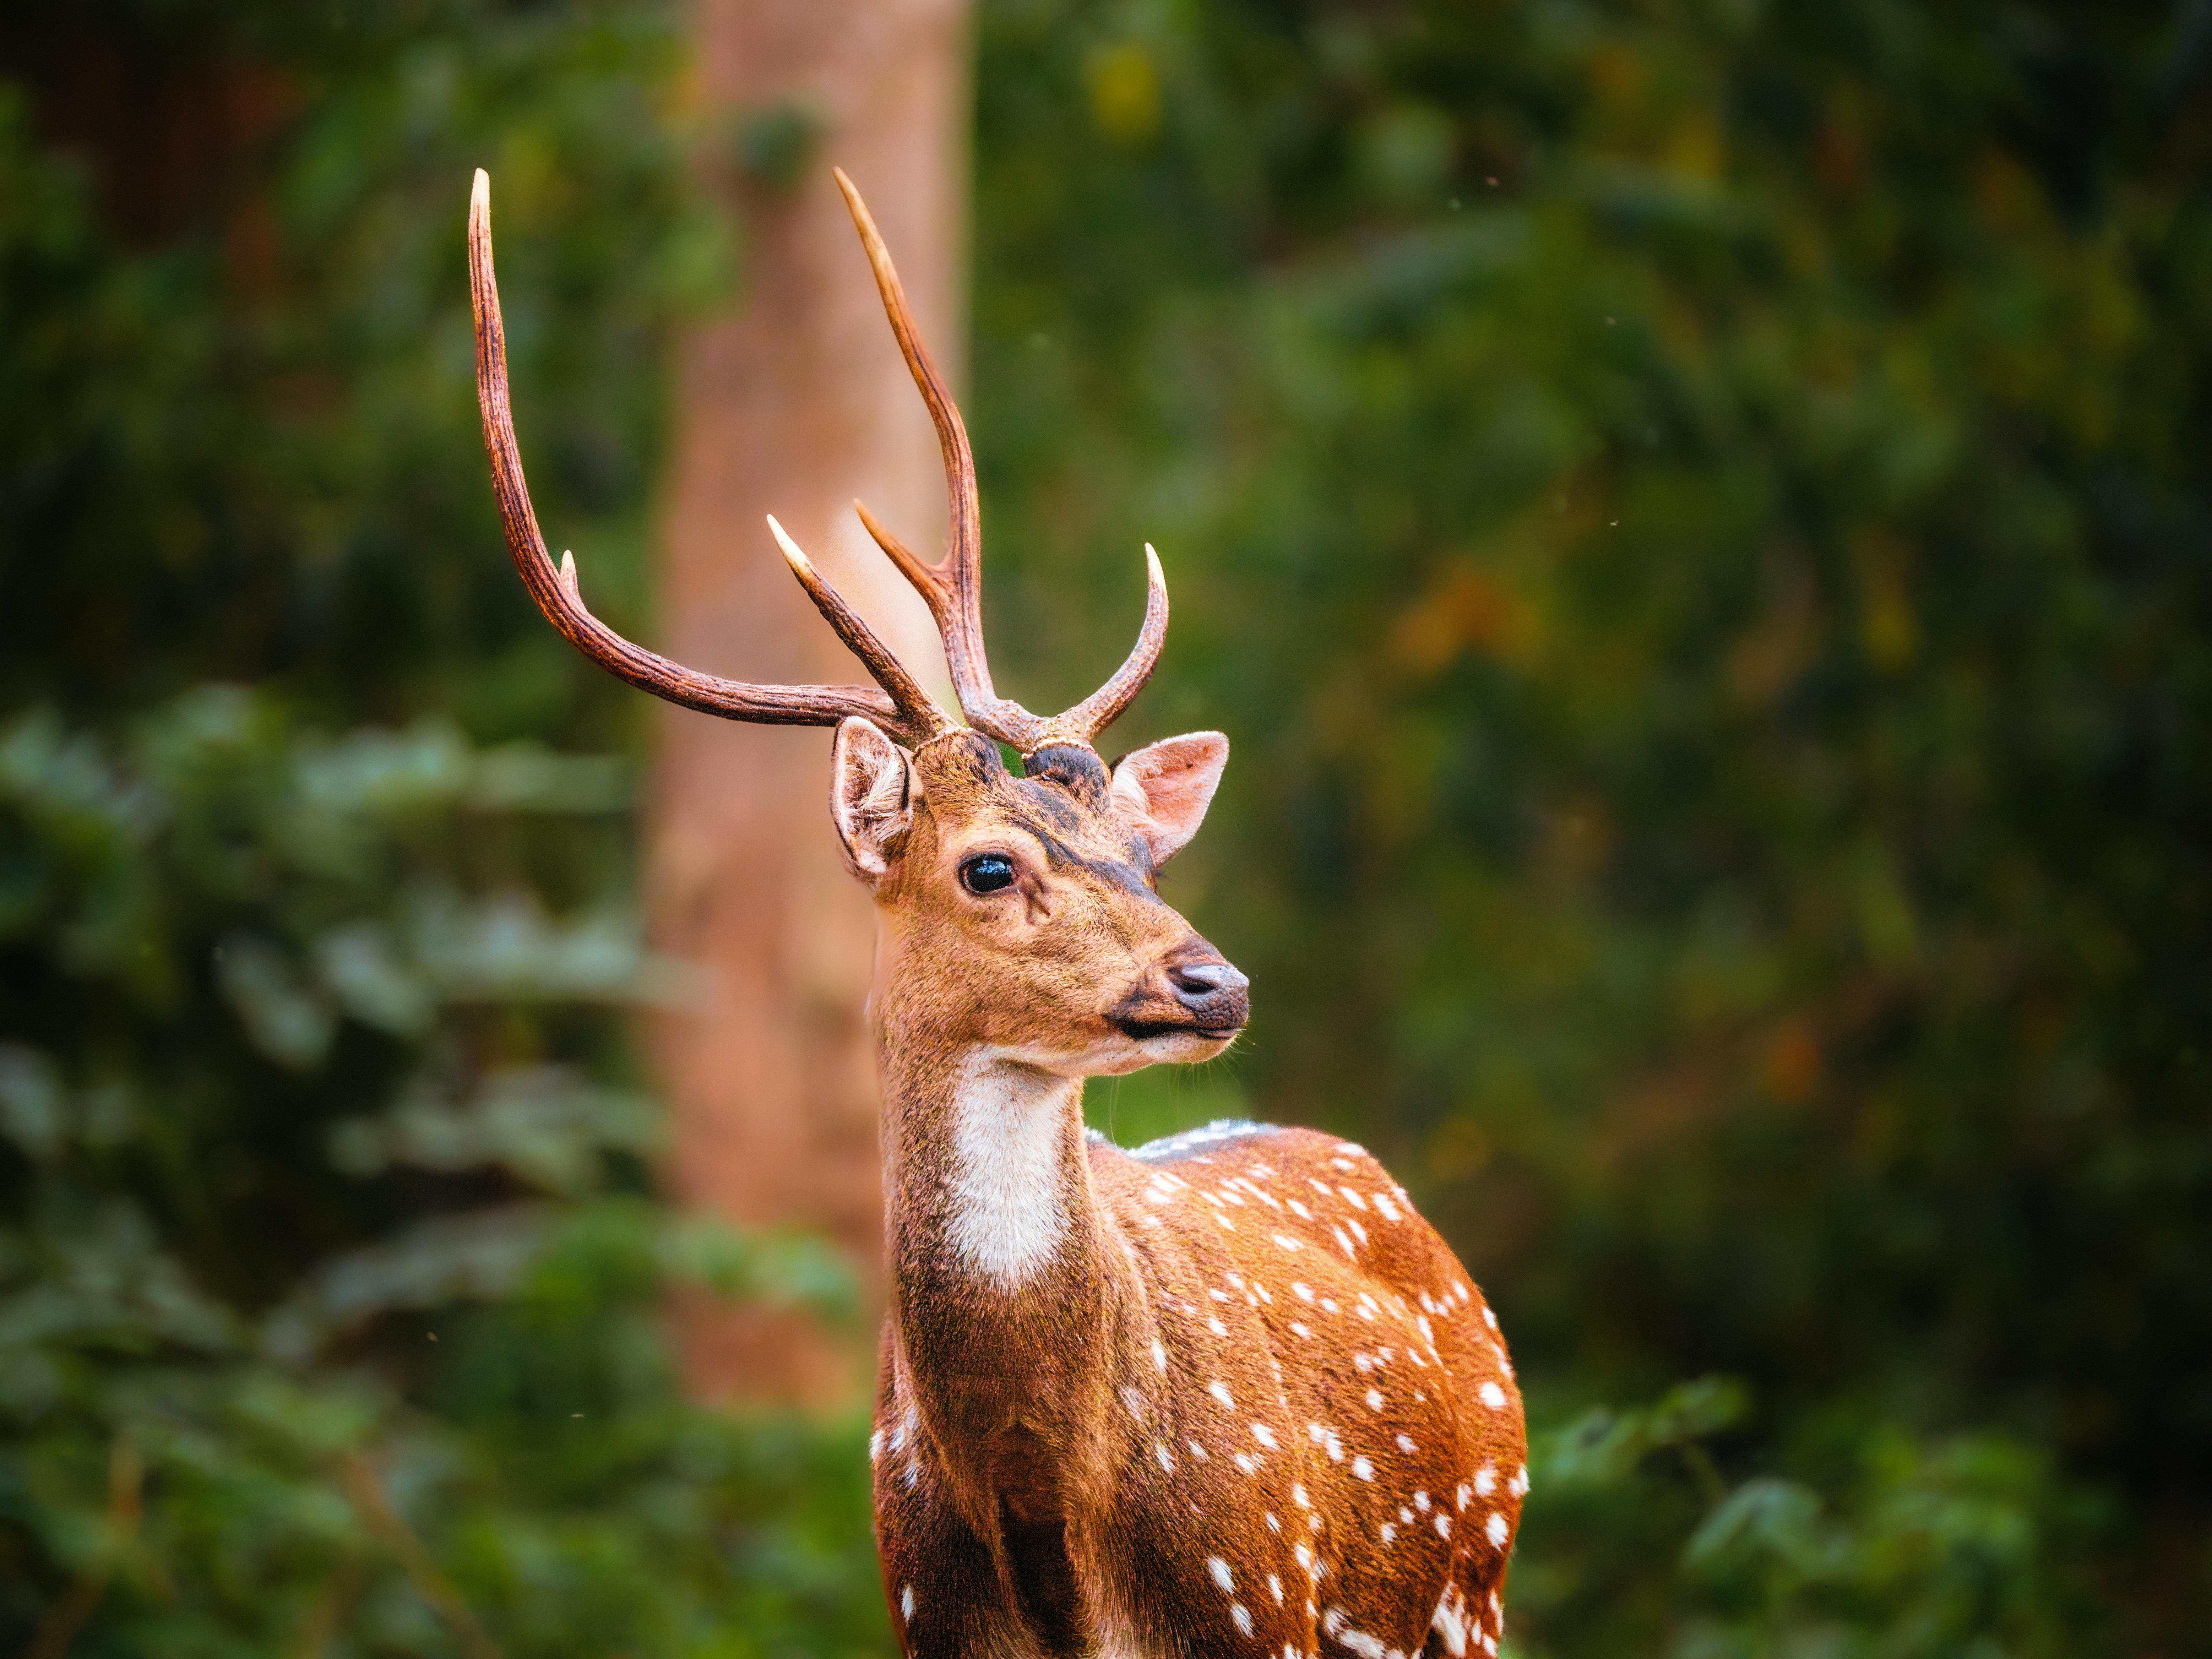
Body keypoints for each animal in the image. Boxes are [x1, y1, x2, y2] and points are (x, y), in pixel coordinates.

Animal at [467, 164, 1525, 1659]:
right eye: (984, 867)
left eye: (1142, 851)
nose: (1215, 983)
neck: (1049, 1529)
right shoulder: (925, 1616)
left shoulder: (1258, 1600)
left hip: (1470, 1570)